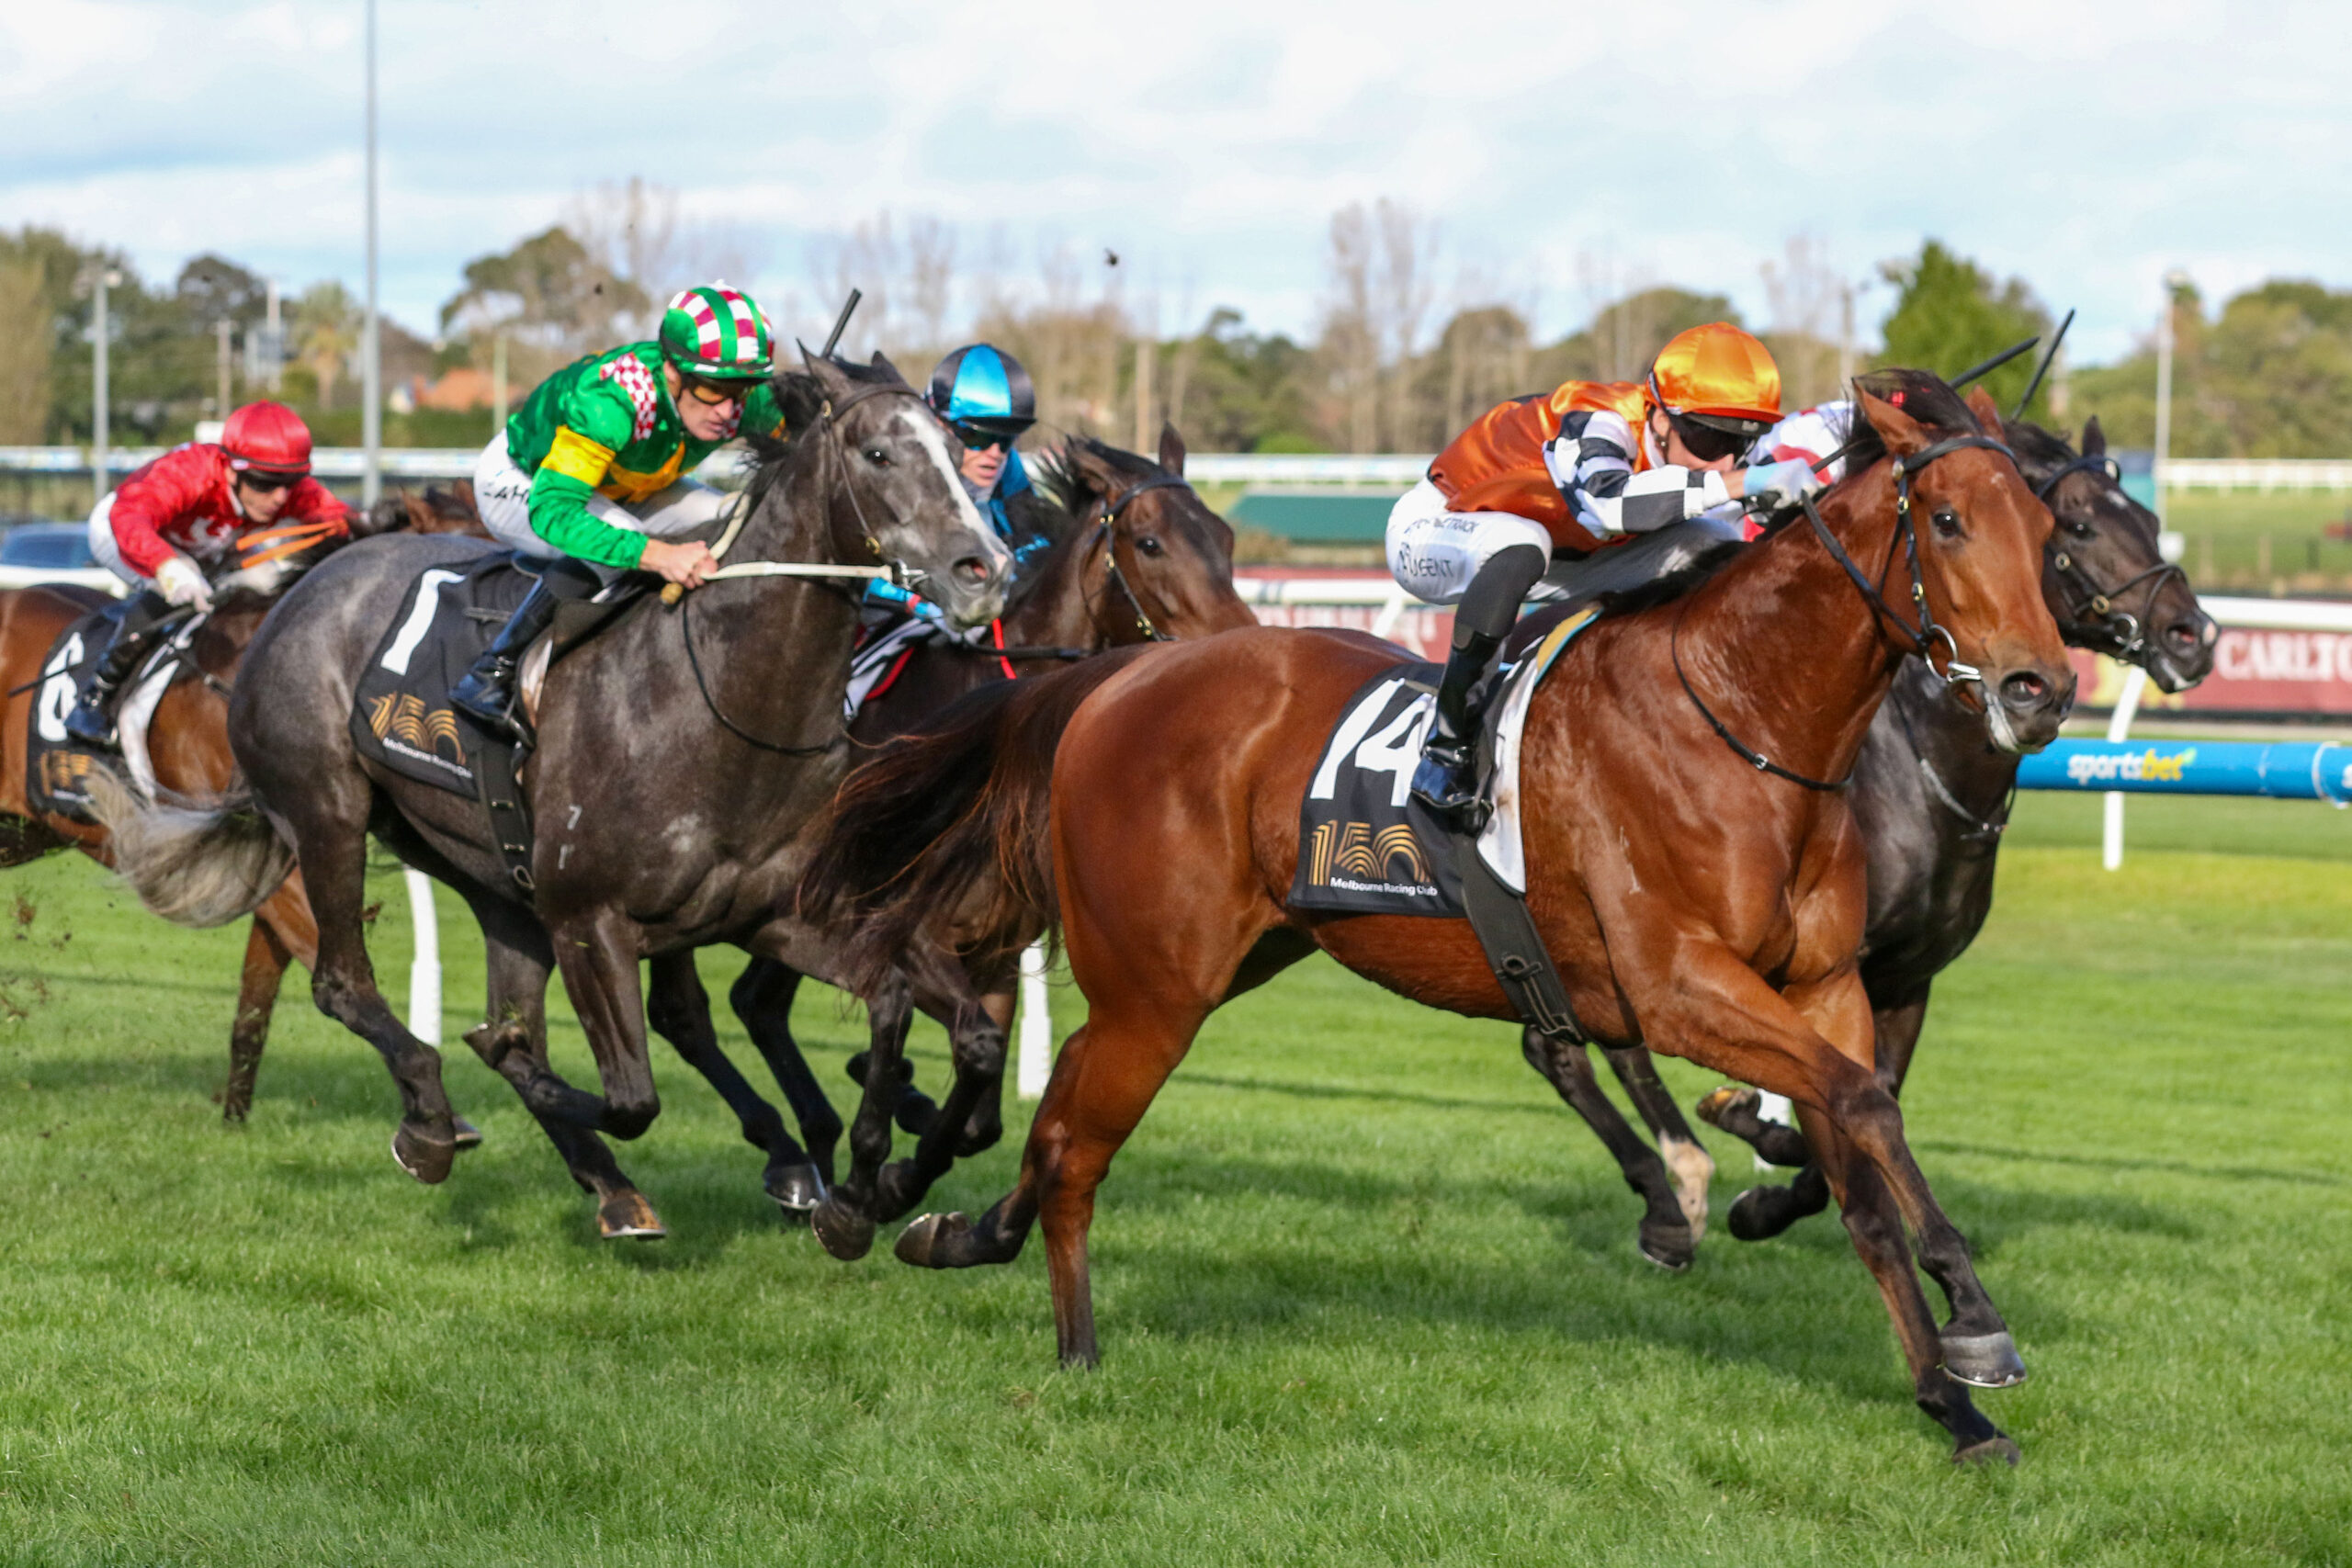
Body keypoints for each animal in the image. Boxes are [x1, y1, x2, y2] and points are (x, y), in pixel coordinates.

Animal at [0, 490, 489, 1121]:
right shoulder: (278, 871)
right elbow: (331, 963)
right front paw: (436, 1105)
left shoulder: (273, 865)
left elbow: (255, 1006)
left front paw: (234, 1118)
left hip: (17, 831)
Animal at [92, 353, 1016, 1235]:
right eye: (879, 453)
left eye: (955, 448)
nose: (986, 569)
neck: (724, 701)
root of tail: (297, 590)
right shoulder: (590, 919)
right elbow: (625, 1095)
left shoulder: (783, 910)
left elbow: (955, 1029)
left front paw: (876, 1184)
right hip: (329, 815)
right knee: (345, 985)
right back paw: (434, 1119)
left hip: (486, 870)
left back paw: (612, 1186)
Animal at [638, 425, 1260, 1239]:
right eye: (1150, 542)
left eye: (1224, 536)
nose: (1244, 648)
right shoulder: (904, 921)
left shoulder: (990, 938)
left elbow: (980, 1112)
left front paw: (897, 1154)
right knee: (693, 1010)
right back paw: (791, 1153)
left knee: (757, 1002)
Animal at [801, 372, 2074, 1463]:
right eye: (1948, 522)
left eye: (2047, 533)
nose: (2041, 688)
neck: (1744, 717)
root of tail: (1115, 679)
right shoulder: (1680, 989)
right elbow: (1859, 1106)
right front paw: (1970, 1330)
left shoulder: (1825, 989)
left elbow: (1865, 1155)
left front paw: (1954, 1389)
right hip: (1155, 987)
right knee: (1071, 1137)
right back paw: (1067, 1345)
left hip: (1220, 962)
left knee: (1059, 1104)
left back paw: (953, 1232)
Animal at [1680, 414, 2214, 1242]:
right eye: (2079, 525)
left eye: (2153, 522)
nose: (2194, 634)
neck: (1918, 774)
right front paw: (1752, 1137)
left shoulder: (1907, 977)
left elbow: (1870, 1108)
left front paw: (1765, 1192)